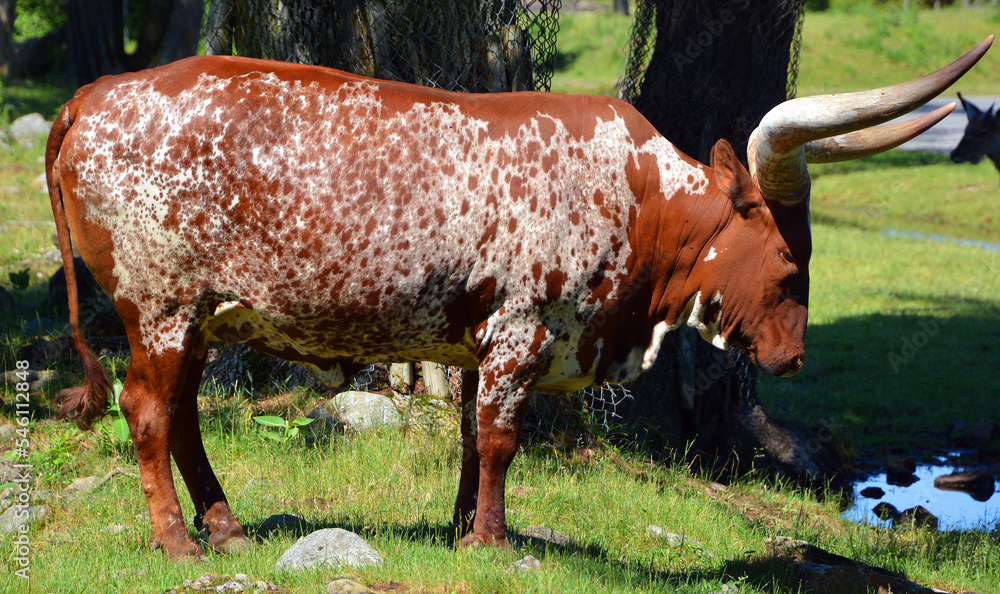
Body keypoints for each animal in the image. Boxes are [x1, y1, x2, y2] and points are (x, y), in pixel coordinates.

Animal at [47, 37, 991, 559]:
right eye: (792, 266)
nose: (793, 357)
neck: (640, 193)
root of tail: (92, 94)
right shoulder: (521, 331)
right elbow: (502, 440)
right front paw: (495, 541)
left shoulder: (476, 341)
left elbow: (472, 441)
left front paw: (465, 528)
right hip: (159, 306)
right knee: (147, 411)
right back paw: (178, 542)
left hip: (198, 316)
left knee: (183, 415)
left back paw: (227, 525)